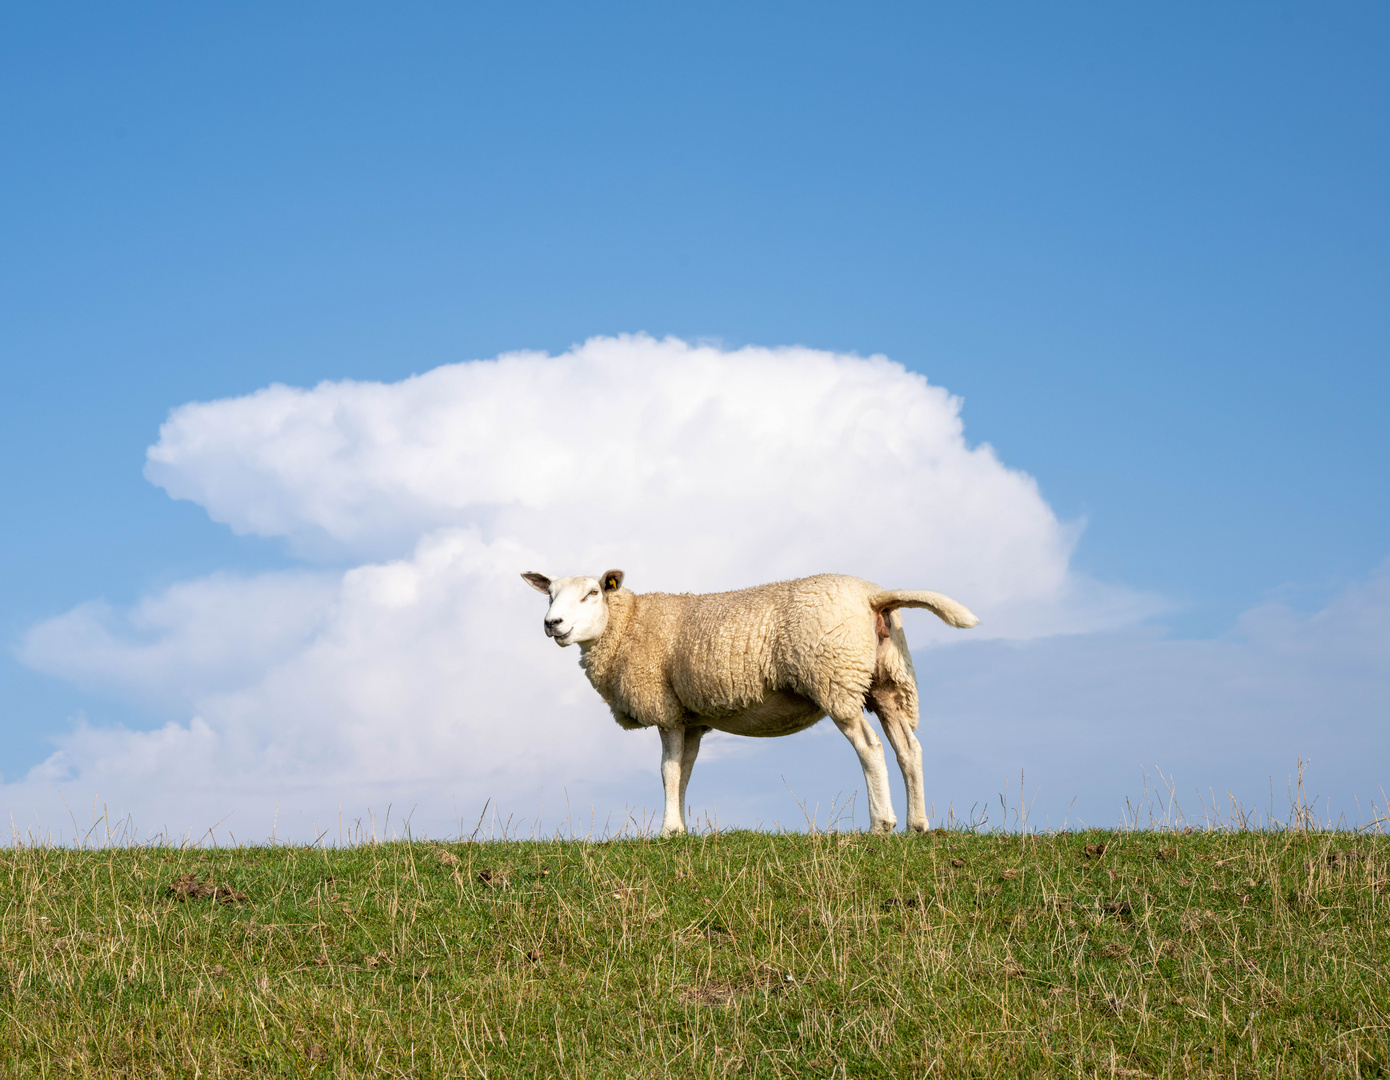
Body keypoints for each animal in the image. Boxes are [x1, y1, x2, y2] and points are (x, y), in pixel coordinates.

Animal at [521, 570, 978, 836]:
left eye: (592, 593)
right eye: (549, 595)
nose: (552, 624)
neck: (628, 623)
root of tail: (874, 596)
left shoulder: (666, 710)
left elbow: (668, 773)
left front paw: (668, 831)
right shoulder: (691, 717)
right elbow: (684, 775)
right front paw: (681, 827)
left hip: (834, 676)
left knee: (870, 747)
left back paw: (882, 823)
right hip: (885, 683)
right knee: (908, 749)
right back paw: (918, 824)